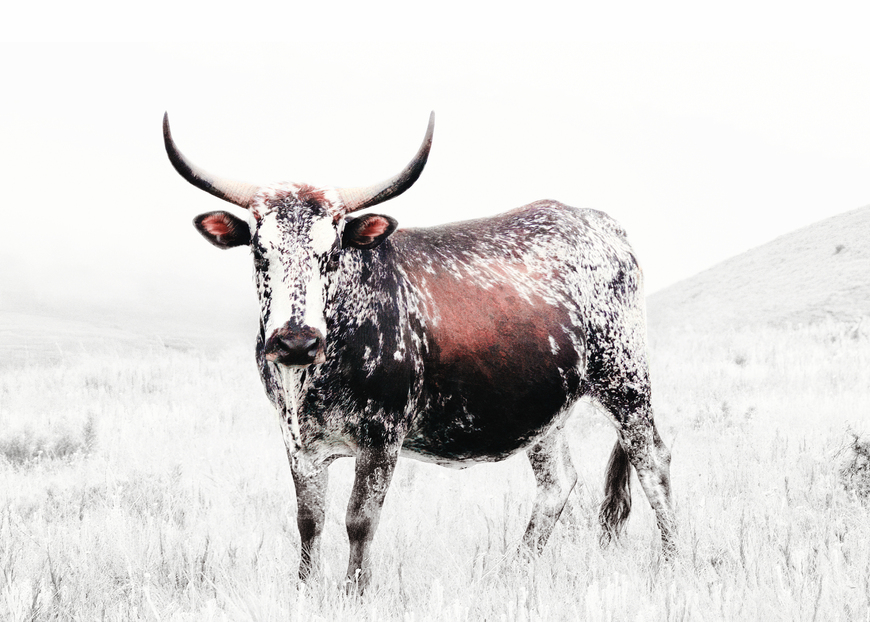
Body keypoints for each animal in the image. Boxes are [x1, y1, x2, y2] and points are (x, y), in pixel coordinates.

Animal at [163, 111, 675, 592]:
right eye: (259, 251)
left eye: (332, 253)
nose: (296, 341)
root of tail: (601, 223)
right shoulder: (298, 442)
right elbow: (309, 522)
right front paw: (305, 590)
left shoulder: (382, 436)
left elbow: (359, 520)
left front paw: (355, 592)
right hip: (546, 409)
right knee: (557, 483)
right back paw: (515, 572)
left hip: (625, 380)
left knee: (654, 463)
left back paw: (673, 564)